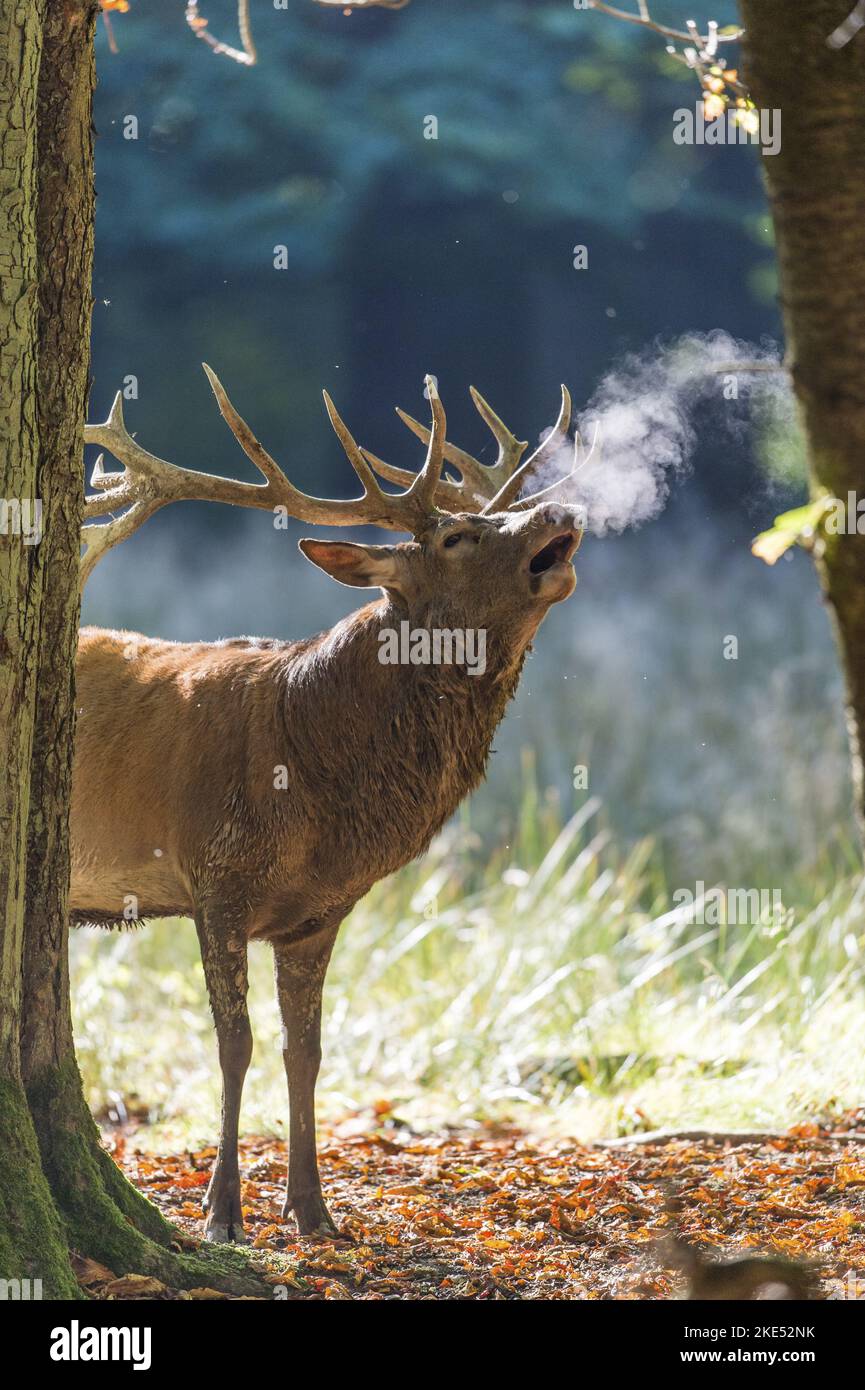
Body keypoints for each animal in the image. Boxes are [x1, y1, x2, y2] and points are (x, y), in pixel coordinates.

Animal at [71, 367, 592, 1242]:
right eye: (458, 537)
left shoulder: (317, 913)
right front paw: (222, 1213)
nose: (562, 513)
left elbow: (304, 1052)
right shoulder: (214, 874)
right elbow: (234, 1044)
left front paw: (312, 1211)